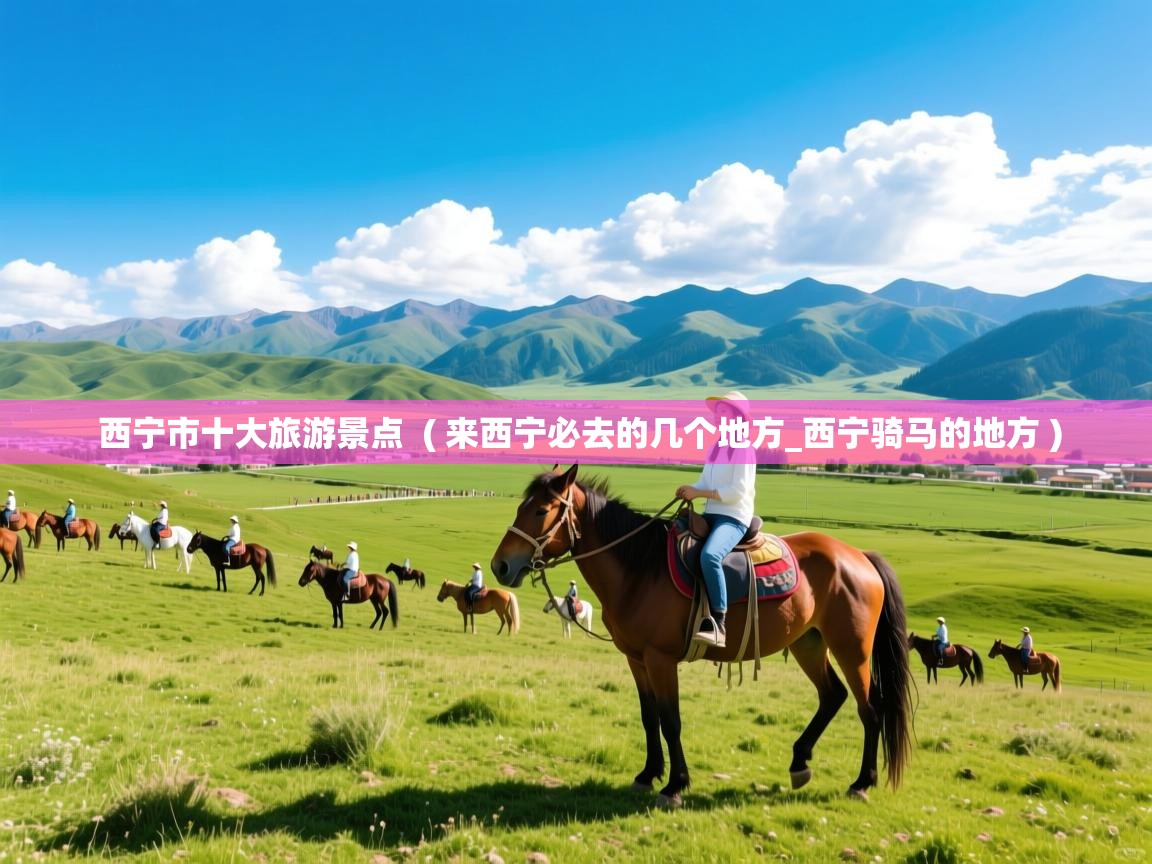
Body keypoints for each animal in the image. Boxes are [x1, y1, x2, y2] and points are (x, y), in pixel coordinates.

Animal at [491, 465, 913, 807]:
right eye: (521, 506)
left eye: (541, 510)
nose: (500, 566)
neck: (640, 570)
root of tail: (859, 556)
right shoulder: (636, 658)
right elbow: (649, 717)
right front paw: (647, 775)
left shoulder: (661, 659)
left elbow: (671, 720)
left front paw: (675, 785)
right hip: (808, 643)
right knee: (832, 696)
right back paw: (799, 763)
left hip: (852, 650)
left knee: (870, 708)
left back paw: (862, 782)